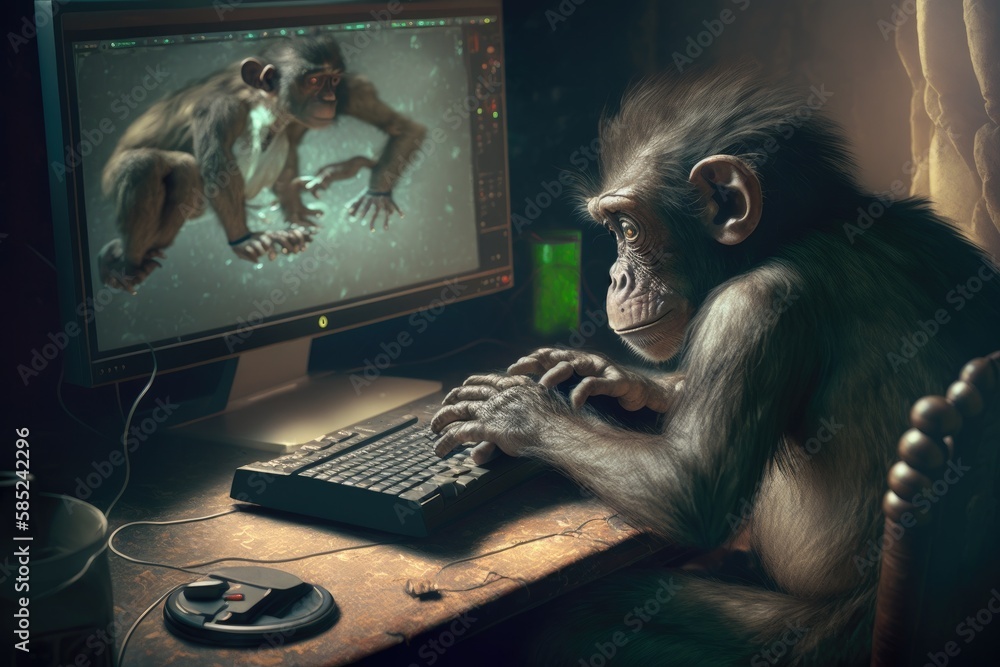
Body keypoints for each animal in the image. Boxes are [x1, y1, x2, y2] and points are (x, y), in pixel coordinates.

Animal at [98, 35, 427, 293]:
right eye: (313, 81)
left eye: (333, 79)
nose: (329, 98)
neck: (265, 100)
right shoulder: (220, 106)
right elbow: (218, 167)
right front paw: (244, 240)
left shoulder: (349, 90)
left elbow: (402, 129)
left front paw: (373, 194)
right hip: (112, 180)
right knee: (156, 167)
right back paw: (127, 264)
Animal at [429, 71, 1000, 665]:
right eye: (611, 230)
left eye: (627, 230)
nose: (614, 277)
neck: (791, 236)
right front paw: (604, 375)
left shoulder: (754, 304)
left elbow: (690, 486)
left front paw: (517, 411)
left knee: (587, 619)